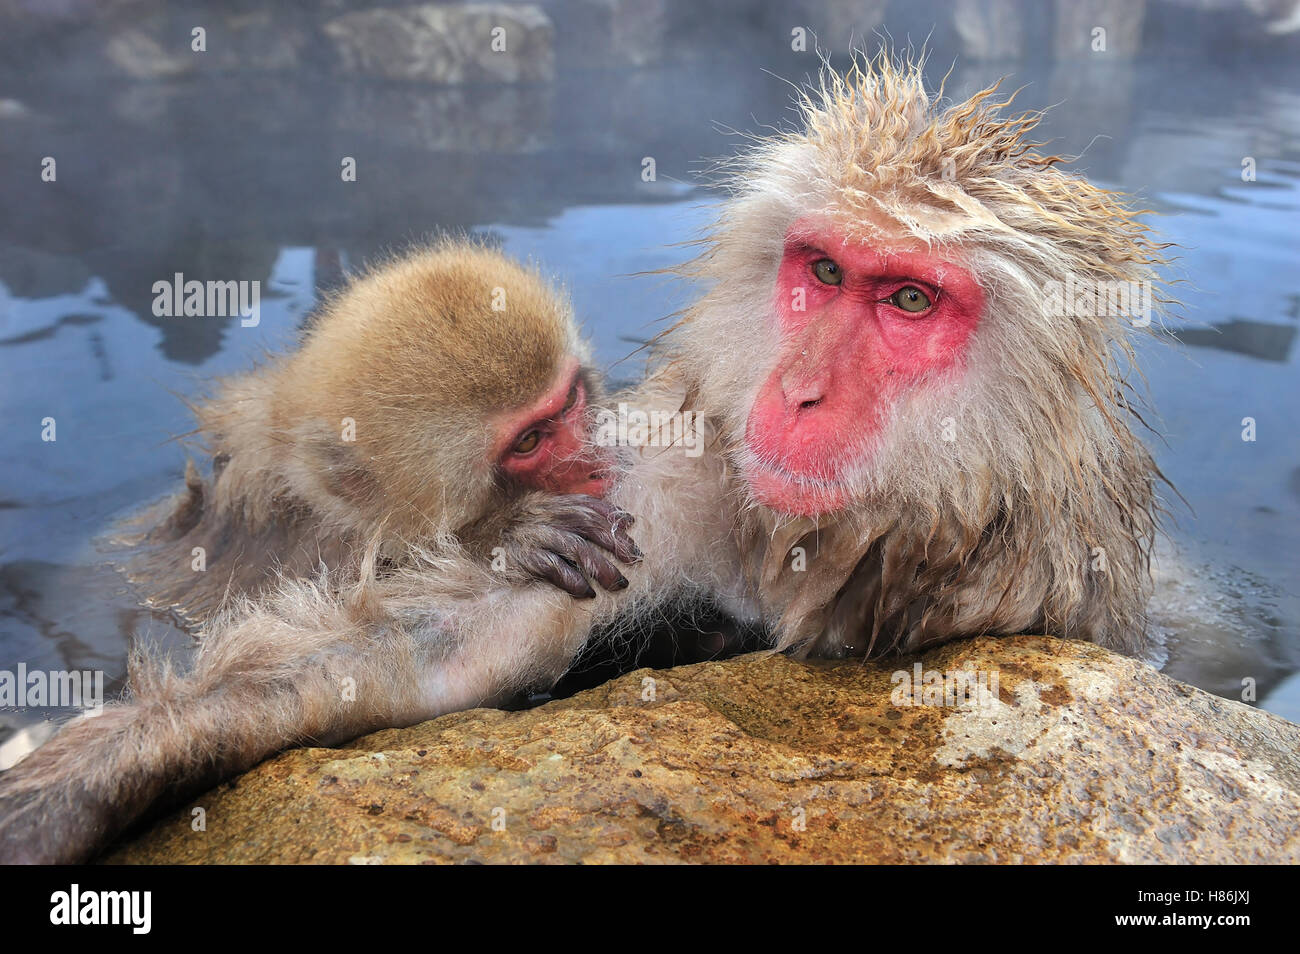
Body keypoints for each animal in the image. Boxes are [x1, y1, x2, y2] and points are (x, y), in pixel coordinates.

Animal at [0, 55, 1168, 863]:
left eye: (912, 300)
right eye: (826, 271)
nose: (798, 392)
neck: (825, 540)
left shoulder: (1045, 576)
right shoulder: (688, 483)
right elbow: (431, 654)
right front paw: (93, 772)